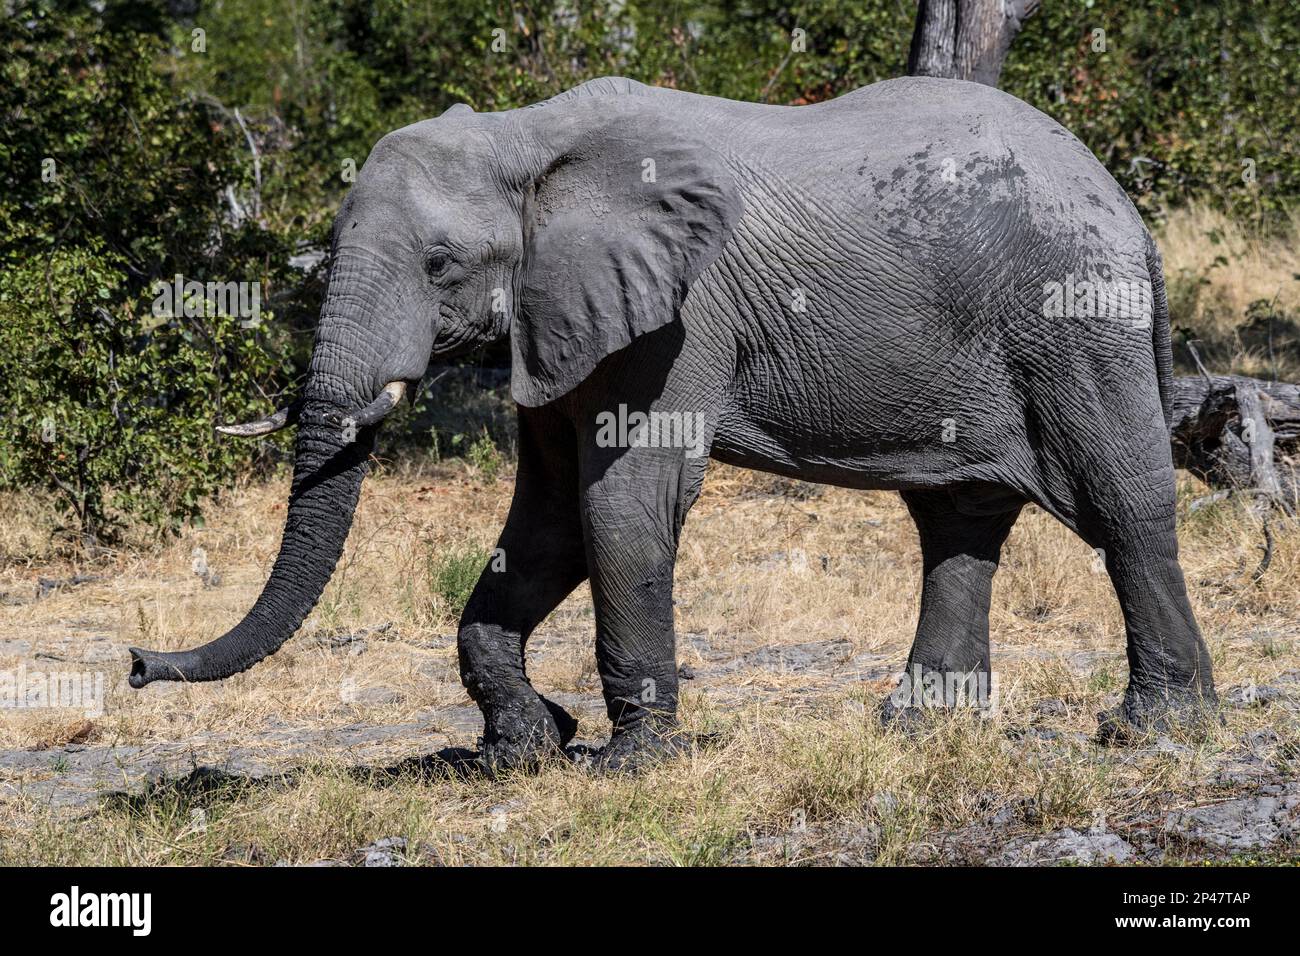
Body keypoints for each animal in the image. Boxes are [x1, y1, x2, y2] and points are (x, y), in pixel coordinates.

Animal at [128, 75, 1217, 770]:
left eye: (439, 266)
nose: (137, 663)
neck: (527, 141)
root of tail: (1128, 210)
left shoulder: (676, 317)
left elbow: (624, 507)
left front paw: (629, 762)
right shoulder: (561, 321)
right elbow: (546, 522)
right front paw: (527, 746)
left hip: (1072, 317)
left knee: (1120, 504)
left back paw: (1154, 732)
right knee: (956, 519)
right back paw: (914, 729)